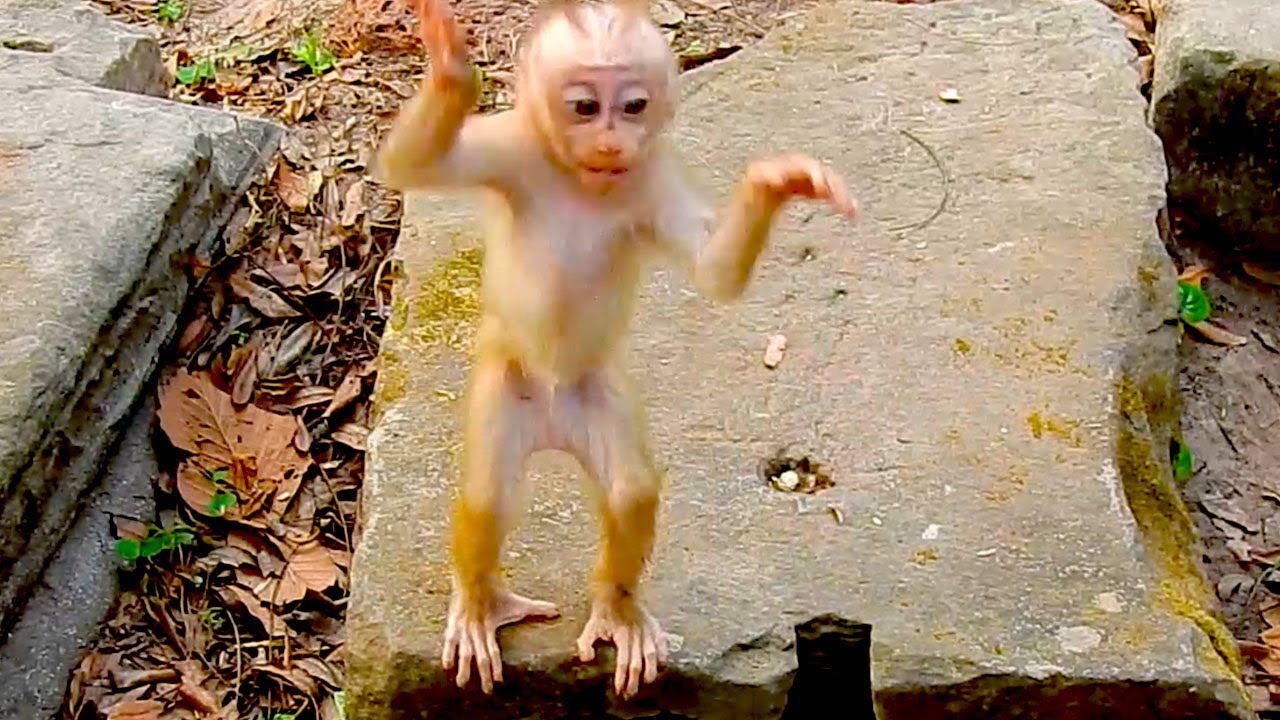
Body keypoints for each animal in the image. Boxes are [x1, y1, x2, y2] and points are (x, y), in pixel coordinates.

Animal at [373, 0, 858, 700]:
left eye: (632, 106)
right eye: (584, 106)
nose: (610, 139)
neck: (586, 182)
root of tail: (552, 422)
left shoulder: (651, 179)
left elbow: (714, 272)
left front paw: (777, 182)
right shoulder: (516, 148)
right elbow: (410, 168)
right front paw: (450, 66)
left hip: (595, 393)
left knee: (630, 492)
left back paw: (616, 611)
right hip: (508, 387)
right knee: (488, 495)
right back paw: (481, 603)